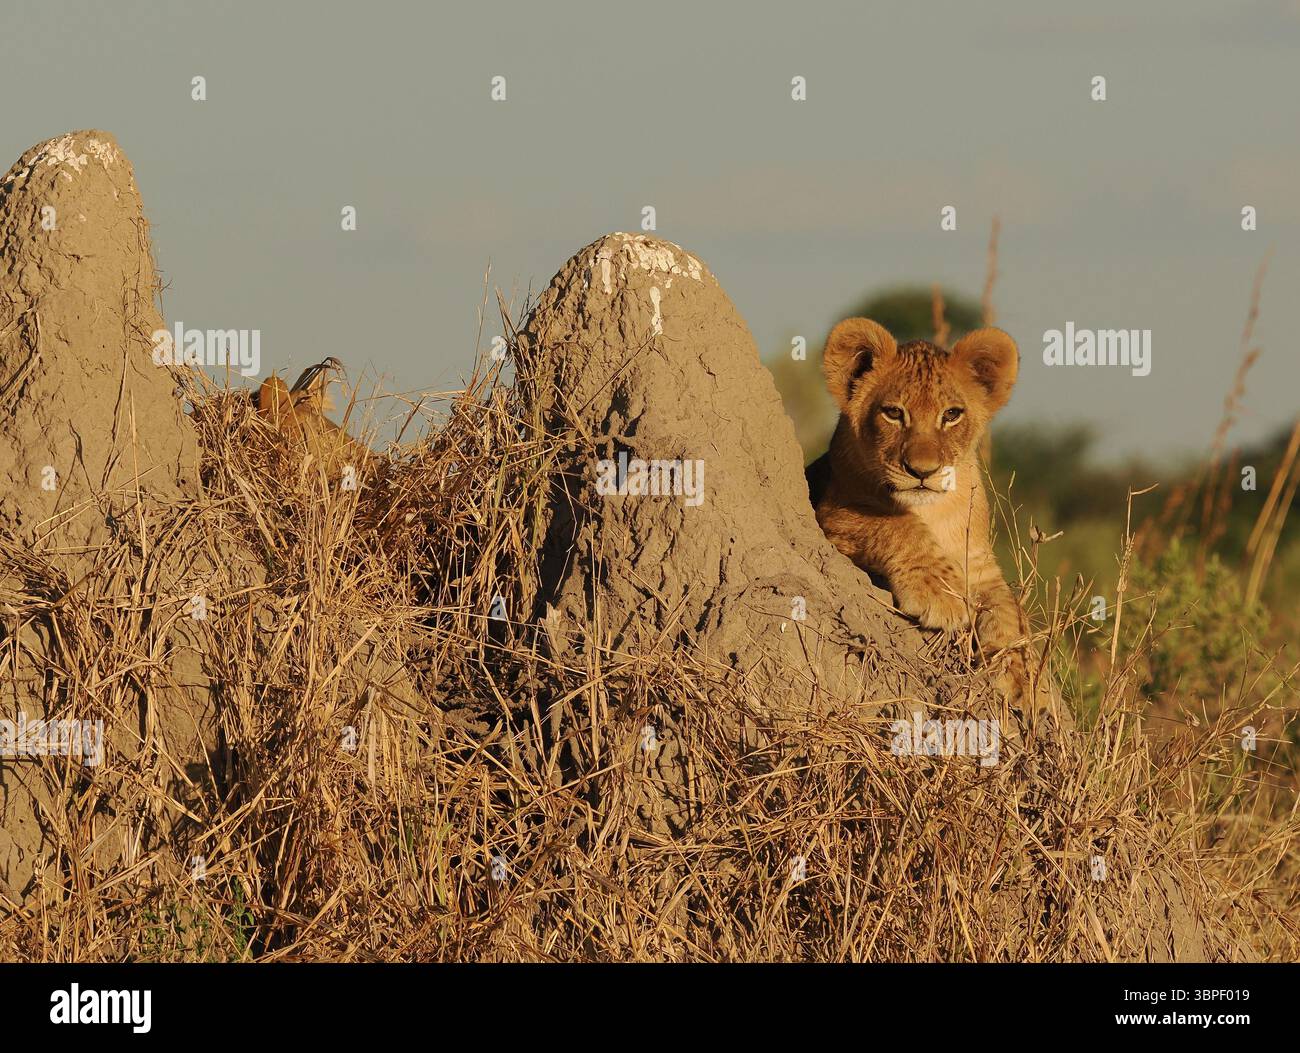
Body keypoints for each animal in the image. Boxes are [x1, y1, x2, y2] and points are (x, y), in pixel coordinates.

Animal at [805, 317, 1044, 708]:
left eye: (951, 415)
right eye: (893, 413)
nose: (922, 471)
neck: (934, 510)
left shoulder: (980, 565)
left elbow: (1009, 610)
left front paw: (1026, 679)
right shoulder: (831, 514)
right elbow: (899, 528)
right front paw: (941, 595)